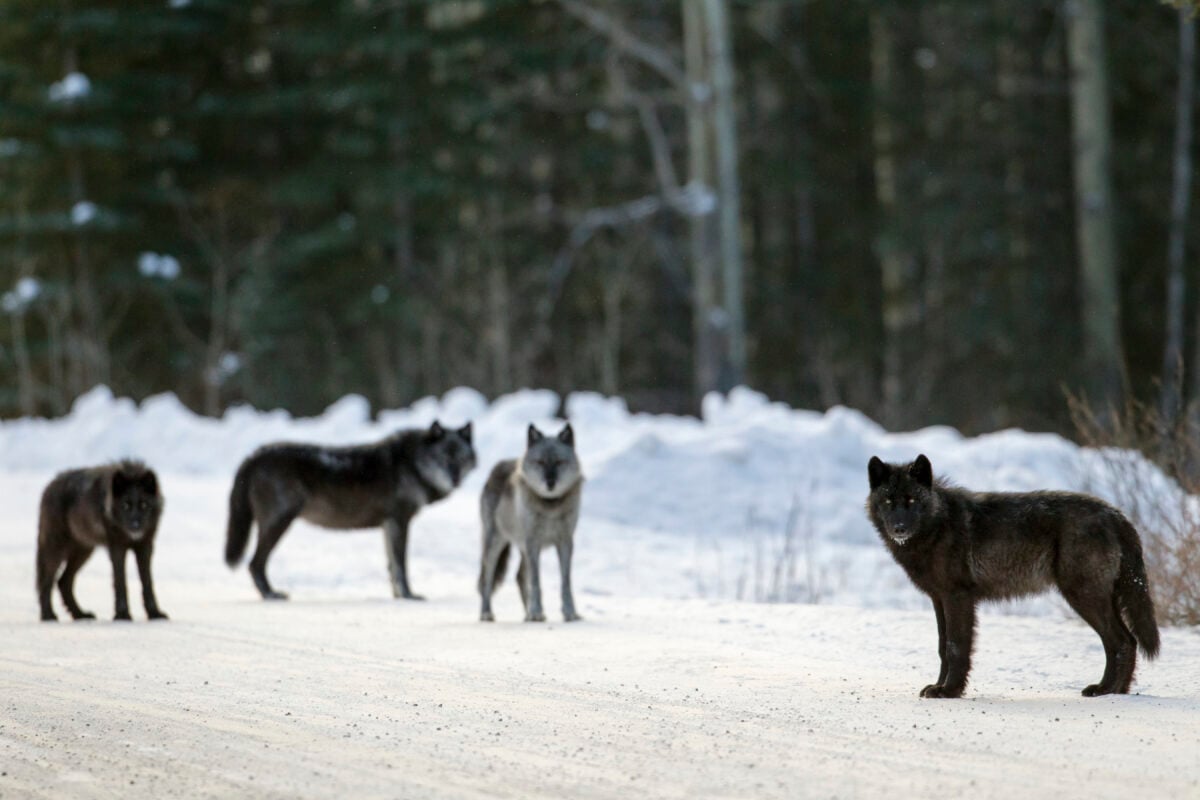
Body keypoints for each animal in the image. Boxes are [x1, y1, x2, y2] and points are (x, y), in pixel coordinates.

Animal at [36, 461, 167, 622]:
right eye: (126, 505)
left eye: (144, 505)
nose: (135, 525)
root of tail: (49, 486)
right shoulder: (117, 547)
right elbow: (120, 581)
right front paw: (122, 615)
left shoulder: (145, 547)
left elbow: (147, 582)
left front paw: (154, 613)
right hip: (57, 549)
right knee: (46, 581)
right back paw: (48, 615)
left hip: (83, 552)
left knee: (63, 581)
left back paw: (80, 614)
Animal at [225, 421, 476, 601]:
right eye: (442, 458)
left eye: (462, 458)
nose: (454, 479)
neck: (411, 462)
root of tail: (253, 456)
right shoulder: (399, 521)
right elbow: (401, 565)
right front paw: (408, 595)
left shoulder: (388, 525)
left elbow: (391, 565)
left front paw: (397, 596)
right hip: (279, 523)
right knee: (254, 563)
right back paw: (271, 594)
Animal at [478, 423, 583, 623]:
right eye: (540, 462)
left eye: (559, 462)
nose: (550, 483)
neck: (550, 506)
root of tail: (497, 467)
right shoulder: (533, 543)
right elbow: (536, 582)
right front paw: (536, 611)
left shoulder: (566, 542)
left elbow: (566, 583)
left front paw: (570, 612)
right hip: (496, 544)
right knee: (486, 579)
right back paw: (486, 613)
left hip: (522, 550)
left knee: (519, 576)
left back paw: (527, 615)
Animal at [866, 454, 1160, 698]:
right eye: (888, 502)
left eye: (912, 501)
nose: (899, 528)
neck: (937, 526)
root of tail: (1117, 515)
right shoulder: (939, 599)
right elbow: (942, 648)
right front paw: (939, 686)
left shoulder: (957, 597)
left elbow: (955, 646)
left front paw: (949, 691)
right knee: (1126, 642)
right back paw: (1117, 691)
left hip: (1083, 597)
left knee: (1121, 642)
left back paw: (1104, 690)